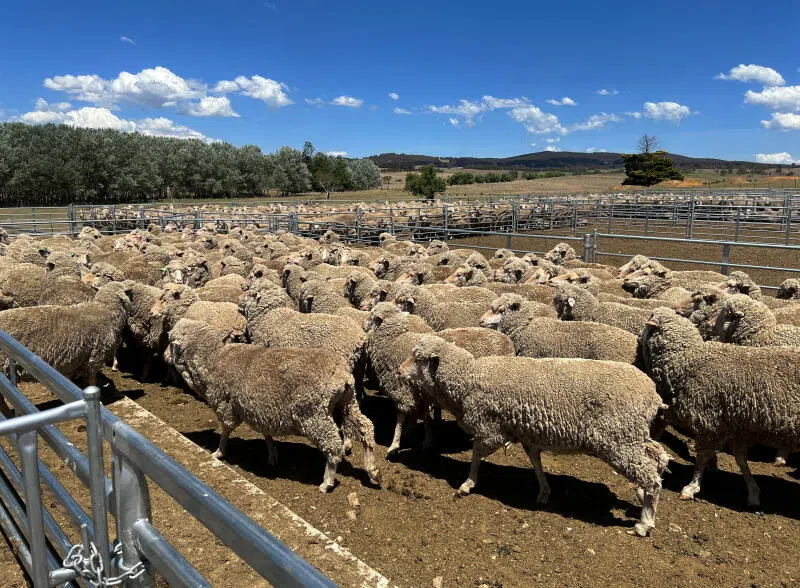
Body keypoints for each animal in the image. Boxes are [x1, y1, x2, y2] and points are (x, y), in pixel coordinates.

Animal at [167, 319, 380, 492]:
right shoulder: (261, 411)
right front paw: (272, 456)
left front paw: (218, 453)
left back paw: (327, 481)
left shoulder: (225, 406)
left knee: (333, 445)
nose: (165, 358)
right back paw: (372, 469)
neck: (213, 358)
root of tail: (341, 374)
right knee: (366, 427)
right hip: (347, 404)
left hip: (314, 414)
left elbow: (225, 431)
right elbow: (266, 434)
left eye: (170, 342)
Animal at [397, 335, 669, 537]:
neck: (468, 378)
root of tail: (653, 395)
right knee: (659, 458)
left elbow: (476, 454)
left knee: (650, 475)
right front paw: (544, 492)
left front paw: (467, 484)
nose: (398, 372)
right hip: (633, 435)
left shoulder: (490, 428)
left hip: (619, 439)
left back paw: (644, 522)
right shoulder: (524, 431)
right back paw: (643, 498)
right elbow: (535, 460)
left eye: (418, 358)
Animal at [638, 308, 800, 508]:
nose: (637, 338)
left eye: (648, 321)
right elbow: (740, 459)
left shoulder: (709, 421)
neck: (688, 360)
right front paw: (753, 491)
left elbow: (702, 457)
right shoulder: (737, 426)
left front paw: (691, 488)